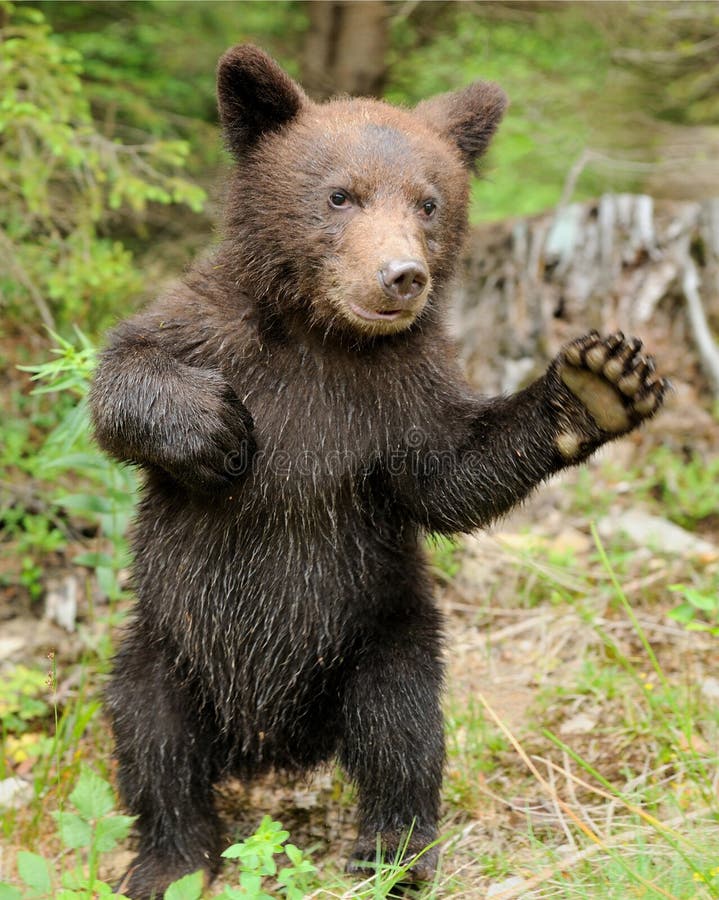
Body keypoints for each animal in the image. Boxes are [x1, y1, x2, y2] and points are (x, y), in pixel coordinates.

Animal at [89, 45, 667, 898]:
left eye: (427, 203)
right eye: (339, 195)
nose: (401, 275)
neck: (323, 336)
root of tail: (271, 746)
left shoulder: (398, 394)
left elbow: (449, 476)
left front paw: (598, 382)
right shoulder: (210, 328)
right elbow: (121, 379)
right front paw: (216, 430)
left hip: (379, 634)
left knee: (399, 734)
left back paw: (392, 856)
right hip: (168, 643)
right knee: (153, 737)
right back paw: (171, 859)